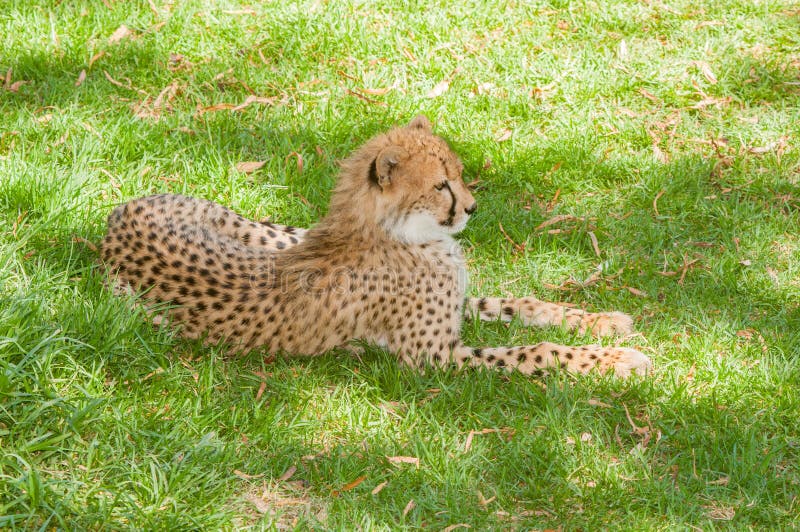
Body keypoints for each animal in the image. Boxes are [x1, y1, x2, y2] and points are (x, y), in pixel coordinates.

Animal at [101, 115, 652, 377]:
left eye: (459, 174)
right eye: (441, 185)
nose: (472, 209)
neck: (402, 234)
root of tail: (120, 213)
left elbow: (518, 303)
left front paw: (602, 321)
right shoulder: (432, 359)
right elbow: (534, 351)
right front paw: (617, 360)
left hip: (276, 234)